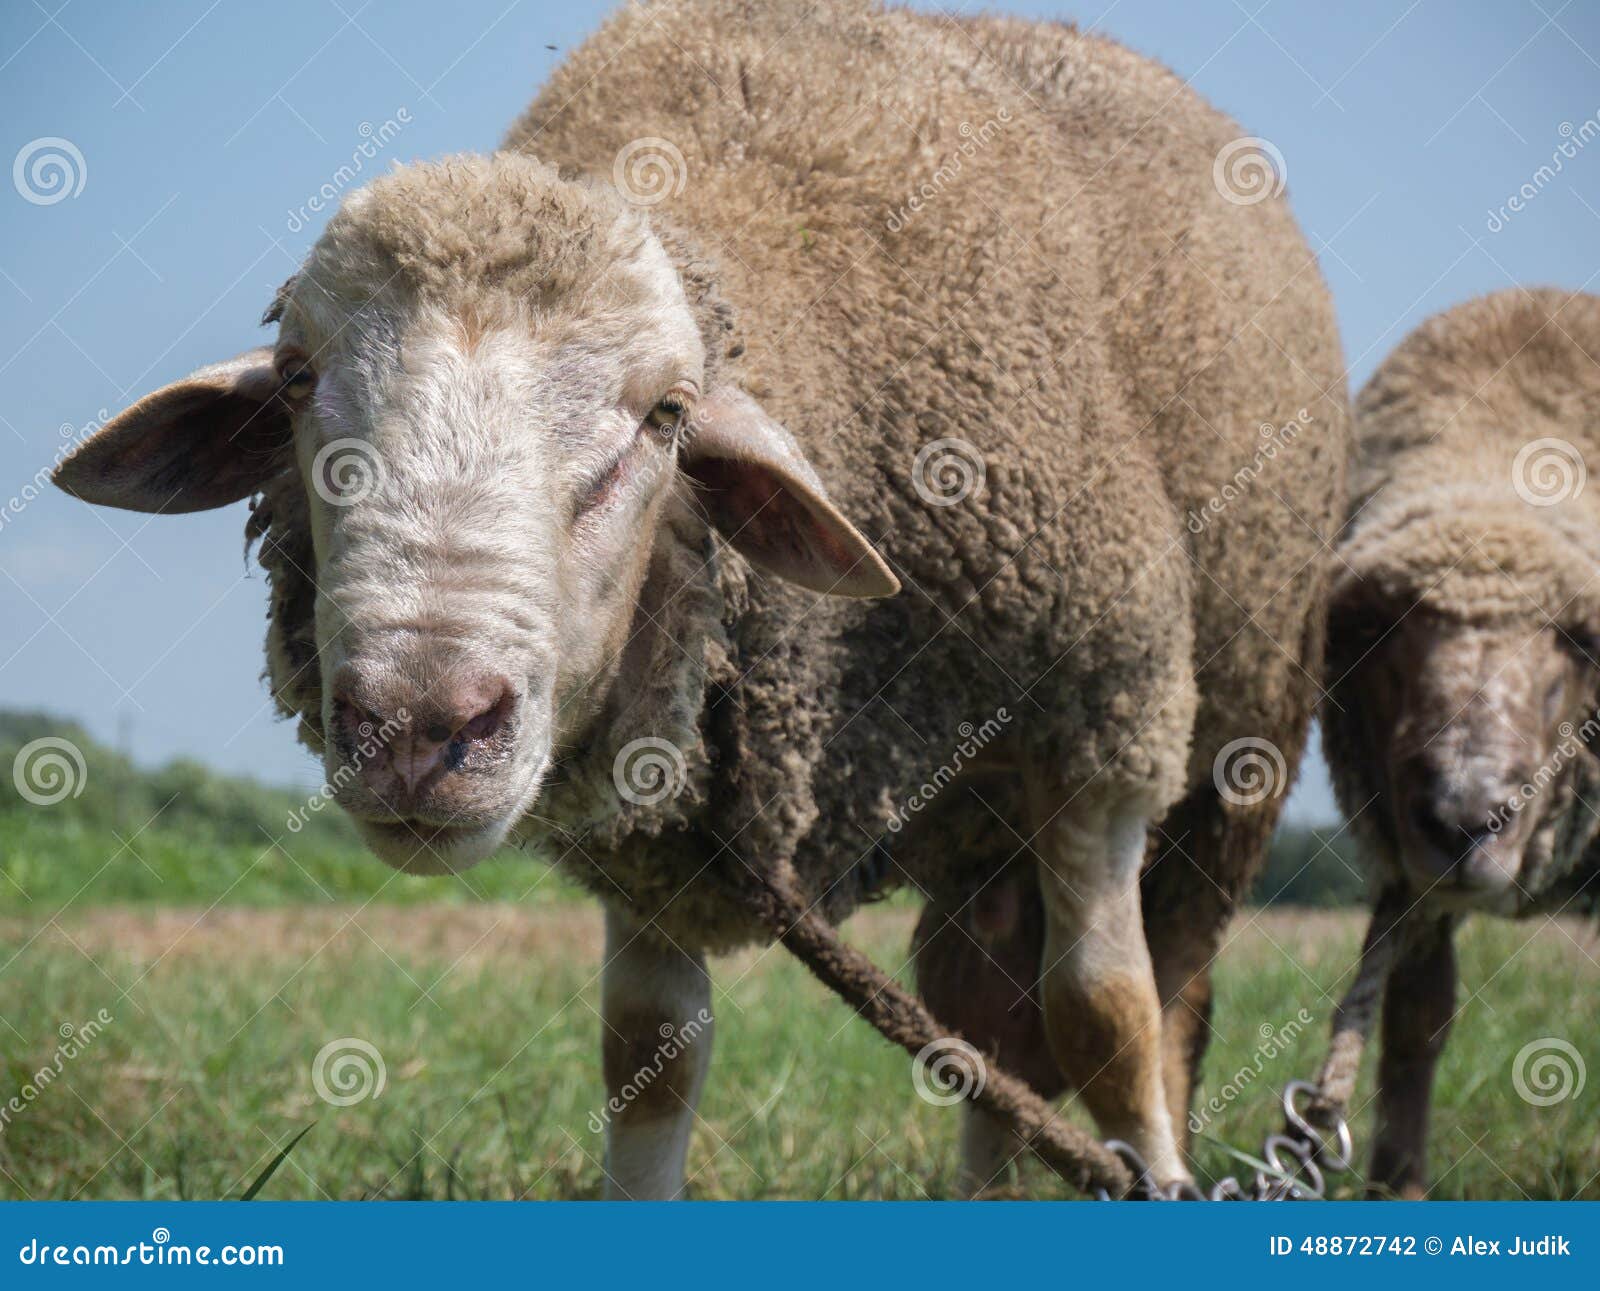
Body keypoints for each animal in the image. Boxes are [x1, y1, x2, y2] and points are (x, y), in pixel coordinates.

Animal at [52, 0, 1348, 1197]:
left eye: (668, 414)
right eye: (294, 377)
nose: (419, 724)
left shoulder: (1104, 715)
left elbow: (1104, 1014)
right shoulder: (654, 820)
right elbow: (651, 1055)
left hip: (1229, 765)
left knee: (1151, 1002)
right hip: (984, 844)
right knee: (986, 1030)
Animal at [1322, 286, 1600, 1198]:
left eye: (1561, 676)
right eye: (1386, 655)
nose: (1467, 822)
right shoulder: (1410, 874)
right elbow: (1415, 1018)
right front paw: (1395, 1186)